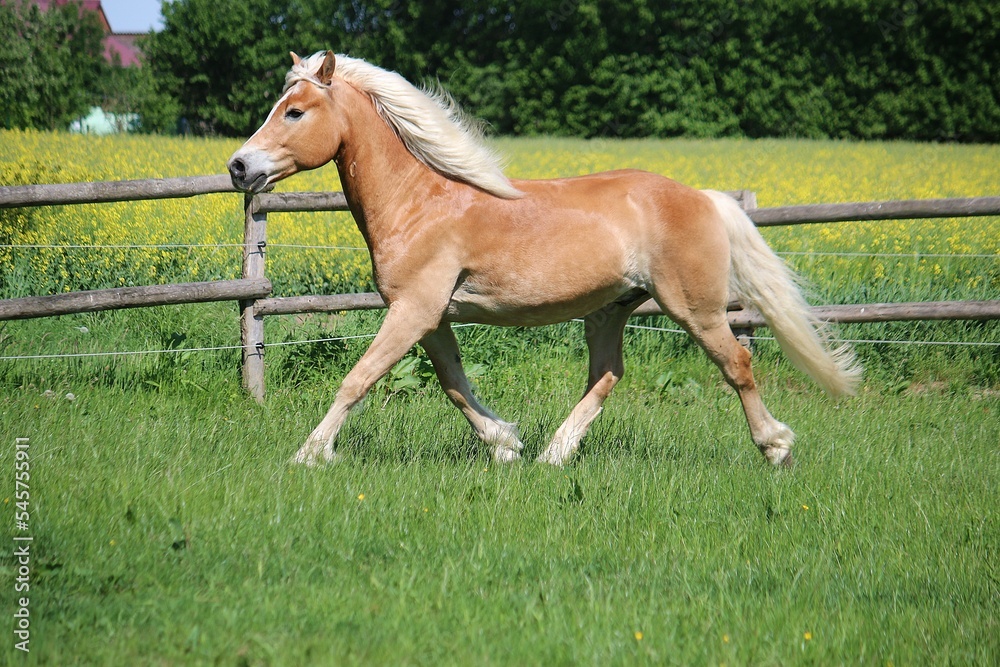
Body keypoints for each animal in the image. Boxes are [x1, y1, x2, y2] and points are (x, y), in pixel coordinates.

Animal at [228, 51, 861, 467]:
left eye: (294, 112)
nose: (239, 167)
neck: (421, 200)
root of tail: (702, 197)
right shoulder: (431, 318)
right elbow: (453, 383)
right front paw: (506, 444)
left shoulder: (413, 311)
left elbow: (357, 380)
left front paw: (308, 455)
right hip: (608, 310)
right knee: (606, 375)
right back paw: (553, 455)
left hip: (695, 309)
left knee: (737, 365)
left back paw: (775, 448)